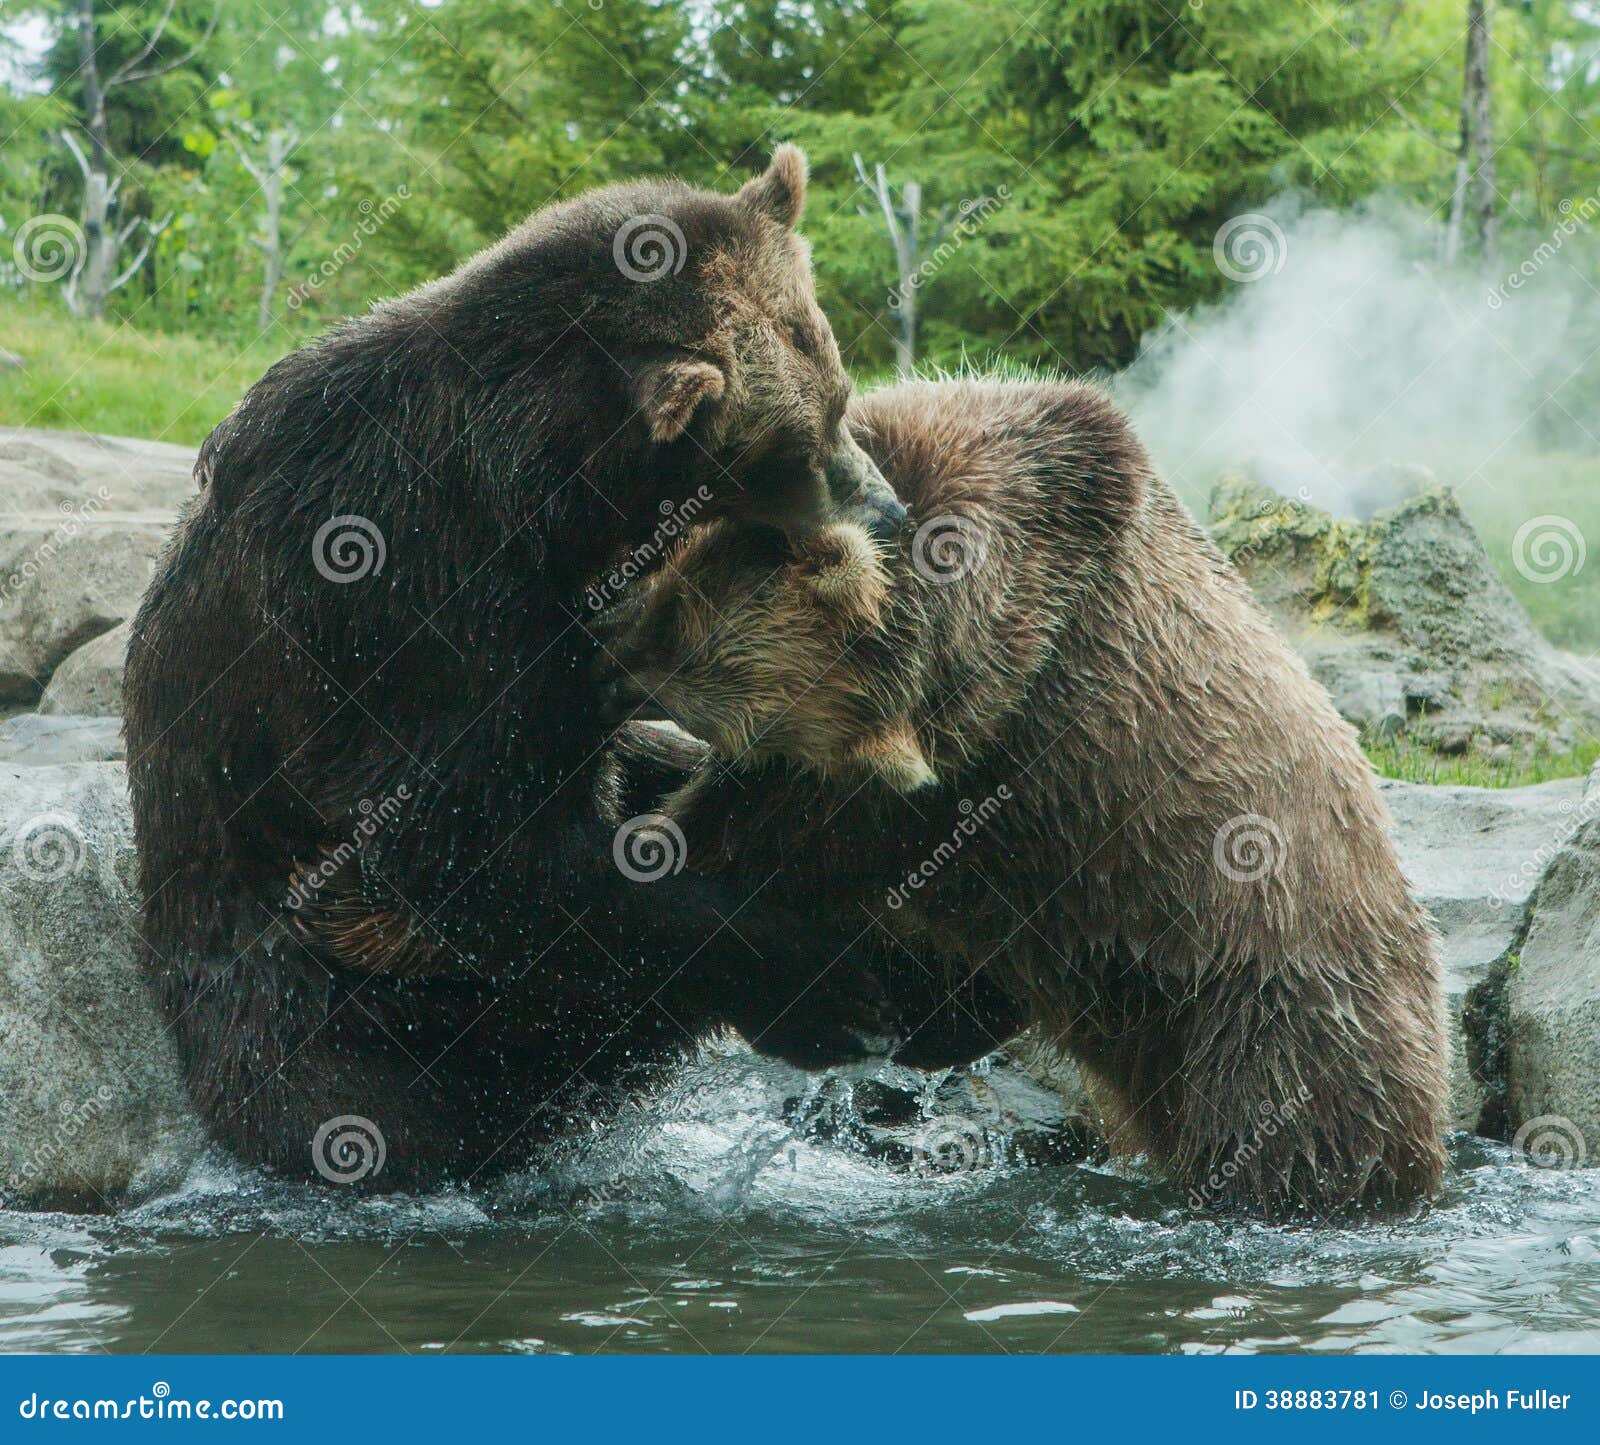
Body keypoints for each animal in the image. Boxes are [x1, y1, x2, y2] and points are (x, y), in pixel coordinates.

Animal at [124, 148, 913, 1191]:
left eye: (839, 393)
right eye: (799, 442)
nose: (893, 510)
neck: (549, 487)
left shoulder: (573, 612)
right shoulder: (403, 586)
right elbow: (462, 843)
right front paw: (828, 977)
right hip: (299, 1001)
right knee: (377, 1093)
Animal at [604, 375, 1450, 1214]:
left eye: (670, 638)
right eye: (653, 597)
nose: (606, 653)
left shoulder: (990, 749)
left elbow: (778, 830)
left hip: (1266, 995)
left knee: (1288, 1125)